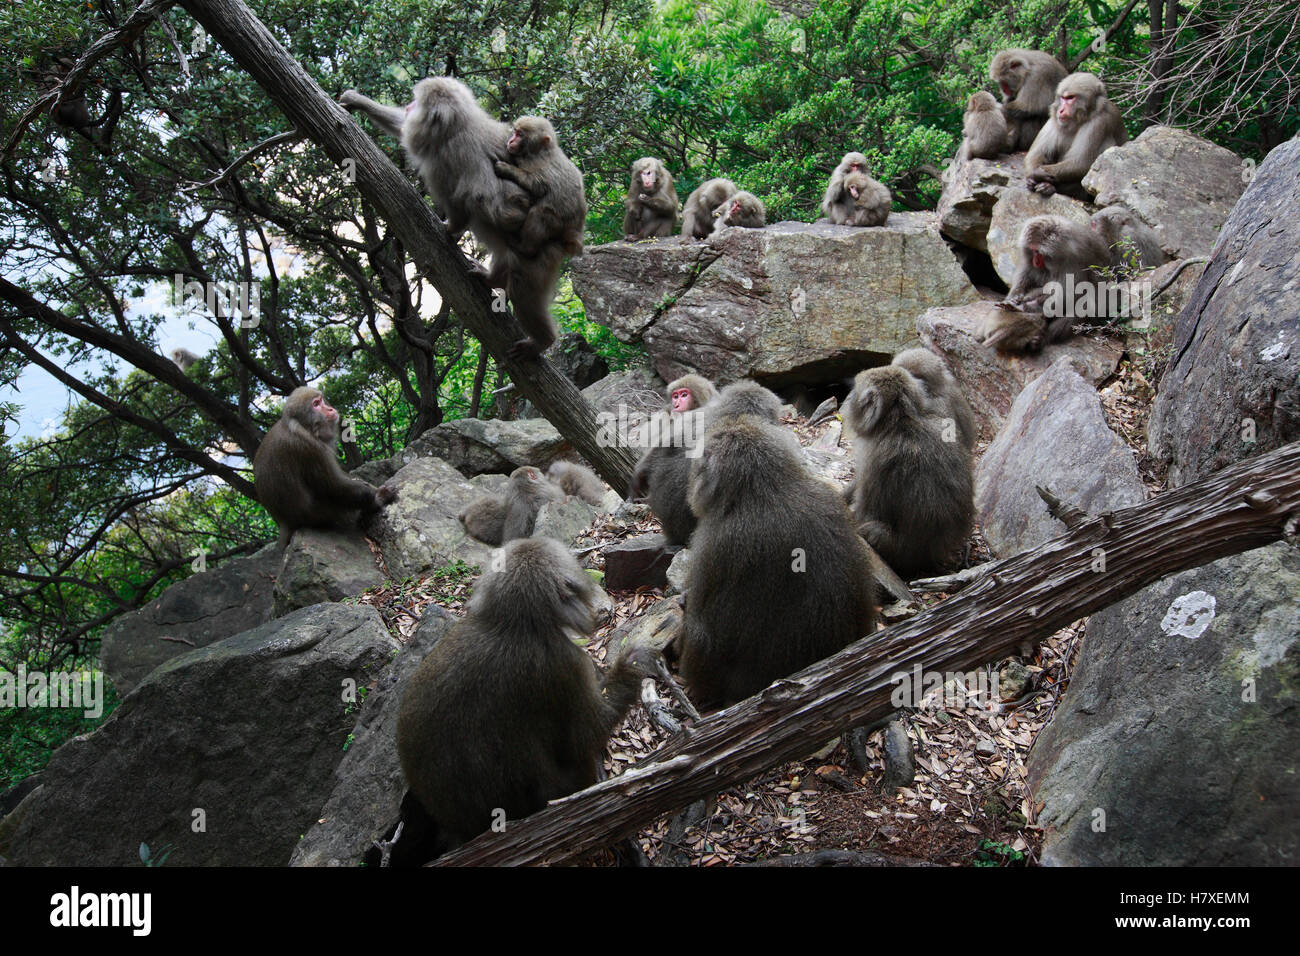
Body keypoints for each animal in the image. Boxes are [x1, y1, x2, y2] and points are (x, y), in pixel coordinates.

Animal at [252, 387, 397, 550]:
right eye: (315, 404)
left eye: (321, 400)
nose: (329, 408)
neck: (304, 427)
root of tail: (284, 523)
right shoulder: (310, 448)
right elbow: (334, 487)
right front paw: (378, 498)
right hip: (323, 515)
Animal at [339, 79, 560, 359]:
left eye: (418, 101)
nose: (410, 105)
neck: (456, 127)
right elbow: (402, 125)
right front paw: (356, 100)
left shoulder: (443, 159)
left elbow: (471, 197)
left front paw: (451, 228)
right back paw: (495, 278)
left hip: (537, 255)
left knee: (522, 289)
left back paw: (542, 340)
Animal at [492, 115, 587, 258]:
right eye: (515, 131)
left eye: (520, 134)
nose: (511, 140)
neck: (539, 151)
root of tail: (575, 229)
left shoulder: (535, 163)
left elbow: (538, 186)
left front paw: (507, 169)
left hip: (557, 223)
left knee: (540, 213)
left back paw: (525, 248)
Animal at [841, 366, 974, 578]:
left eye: (855, 392)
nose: (846, 399)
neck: (901, 419)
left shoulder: (875, 457)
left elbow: (864, 510)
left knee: (874, 531)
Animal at [979, 215, 1115, 351]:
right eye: (1032, 250)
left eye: (1039, 252)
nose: (1035, 261)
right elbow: (1026, 272)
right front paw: (1014, 296)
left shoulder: (1074, 259)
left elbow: (1071, 292)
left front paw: (1027, 307)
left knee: (1085, 304)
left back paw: (1042, 338)